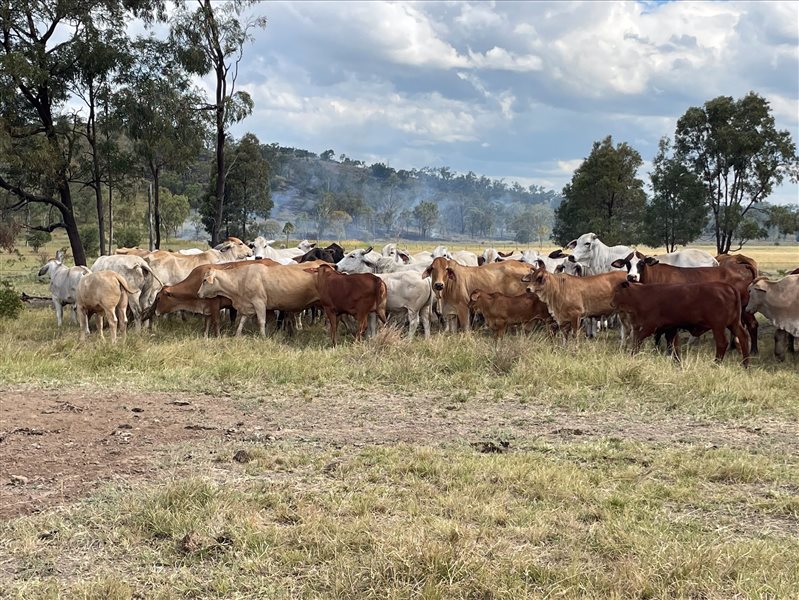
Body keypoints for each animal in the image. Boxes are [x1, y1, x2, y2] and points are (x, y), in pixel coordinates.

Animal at [612, 280, 750, 367]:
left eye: (617, 291)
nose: (611, 303)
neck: (642, 295)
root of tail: (728, 286)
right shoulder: (670, 328)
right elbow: (673, 346)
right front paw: (677, 362)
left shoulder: (650, 326)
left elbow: (638, 340)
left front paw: (632, 355)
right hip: (734, 323)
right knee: (743, 338)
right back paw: (745, 364)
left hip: (718, 326)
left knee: (722, 343)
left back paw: (716, 364)